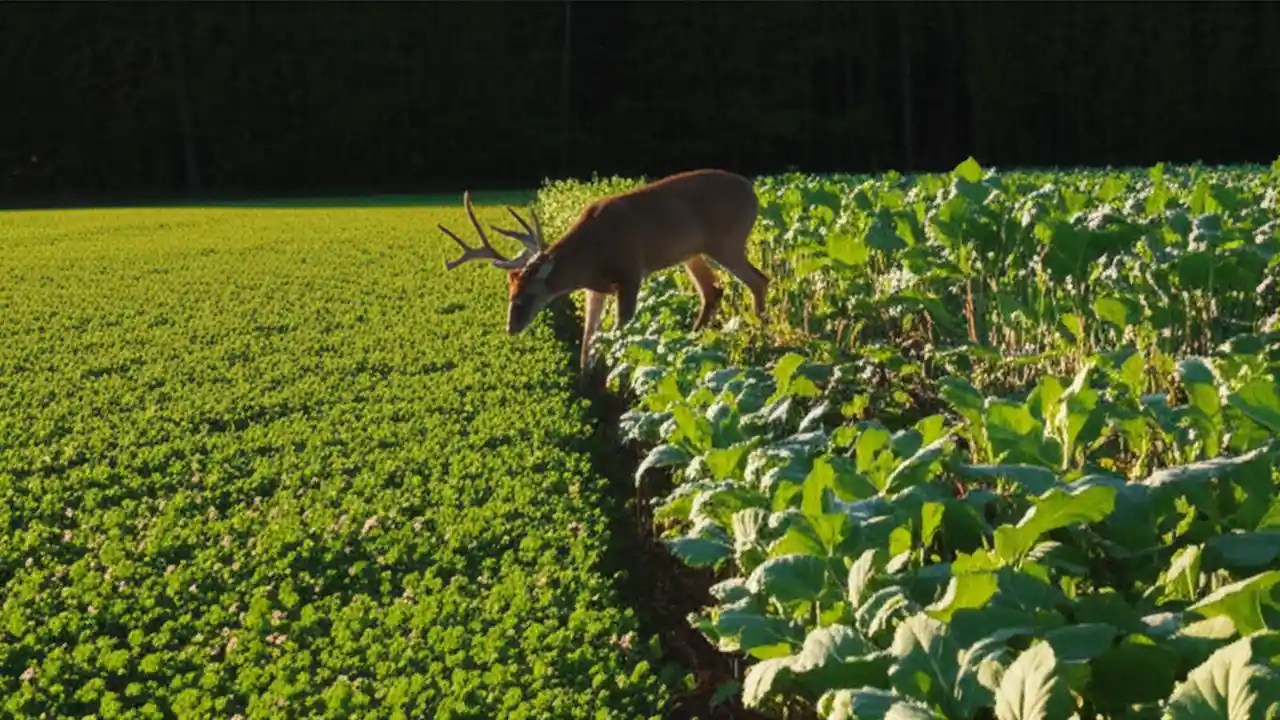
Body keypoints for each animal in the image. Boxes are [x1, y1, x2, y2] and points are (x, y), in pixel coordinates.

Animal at [436, 169, 769, 375]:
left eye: (529, 295)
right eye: (510, 294)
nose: (511, 328)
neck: (591, 256)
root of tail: (753, 192)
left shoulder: (631, 272)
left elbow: (622, 331)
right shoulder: (594, 288)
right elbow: (588, 342)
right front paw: (588, 385)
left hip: (727, 241)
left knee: (759, 280)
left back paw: (760, 338)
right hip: (693, 253)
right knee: (713, 291)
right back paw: (694, 337)